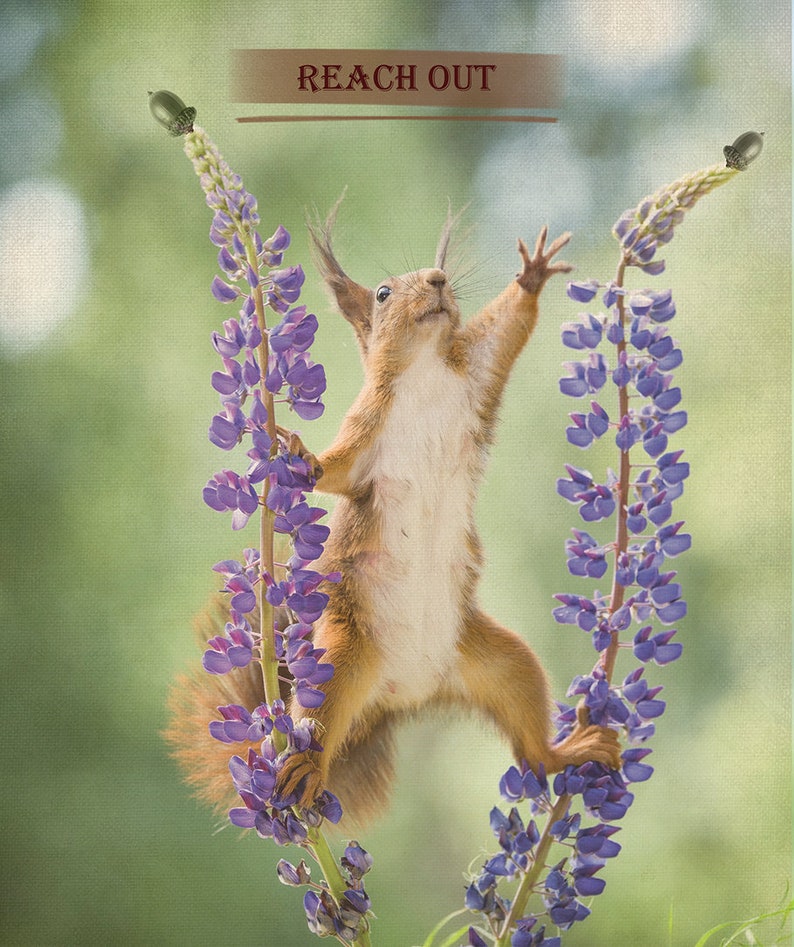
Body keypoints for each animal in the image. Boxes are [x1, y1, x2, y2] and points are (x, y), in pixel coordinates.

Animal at [165, 205, 621, 827]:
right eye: (382, 293)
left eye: (439, 275)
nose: (438, 279)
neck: (425, 374)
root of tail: (403, 694)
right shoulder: (366, 437)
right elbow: (334, 470)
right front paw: (298, 454)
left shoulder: (478, 372)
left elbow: (506, 330)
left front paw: (532, 275)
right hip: (340, 661)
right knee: (320, 727)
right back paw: (305, 767)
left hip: (504, 664)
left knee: (531, 747)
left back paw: (571, 749)